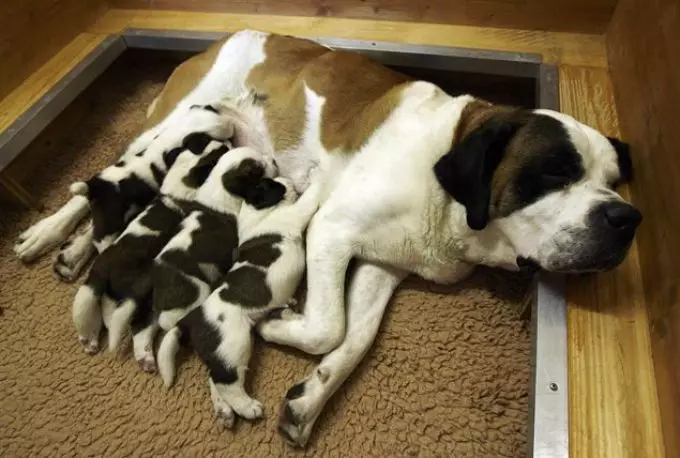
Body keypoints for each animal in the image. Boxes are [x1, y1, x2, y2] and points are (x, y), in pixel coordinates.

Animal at [108, 148, 282, 372]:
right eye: (257, 170)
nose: (274, 161)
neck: (220, 186)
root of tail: (153, 275)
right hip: (193, 297)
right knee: (167, 325)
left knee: (143, 325)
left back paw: (146, 358)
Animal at [157, 178, 322, 426]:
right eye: (274, 186)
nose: (286, 181)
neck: (258, 212)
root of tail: (191, 318)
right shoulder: (294, 214)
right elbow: (309, 199)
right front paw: (318, 179)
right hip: (234, 345)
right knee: (226, 382)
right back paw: (248, 408)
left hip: (228, 350)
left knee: (215, 378)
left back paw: (225, 410)